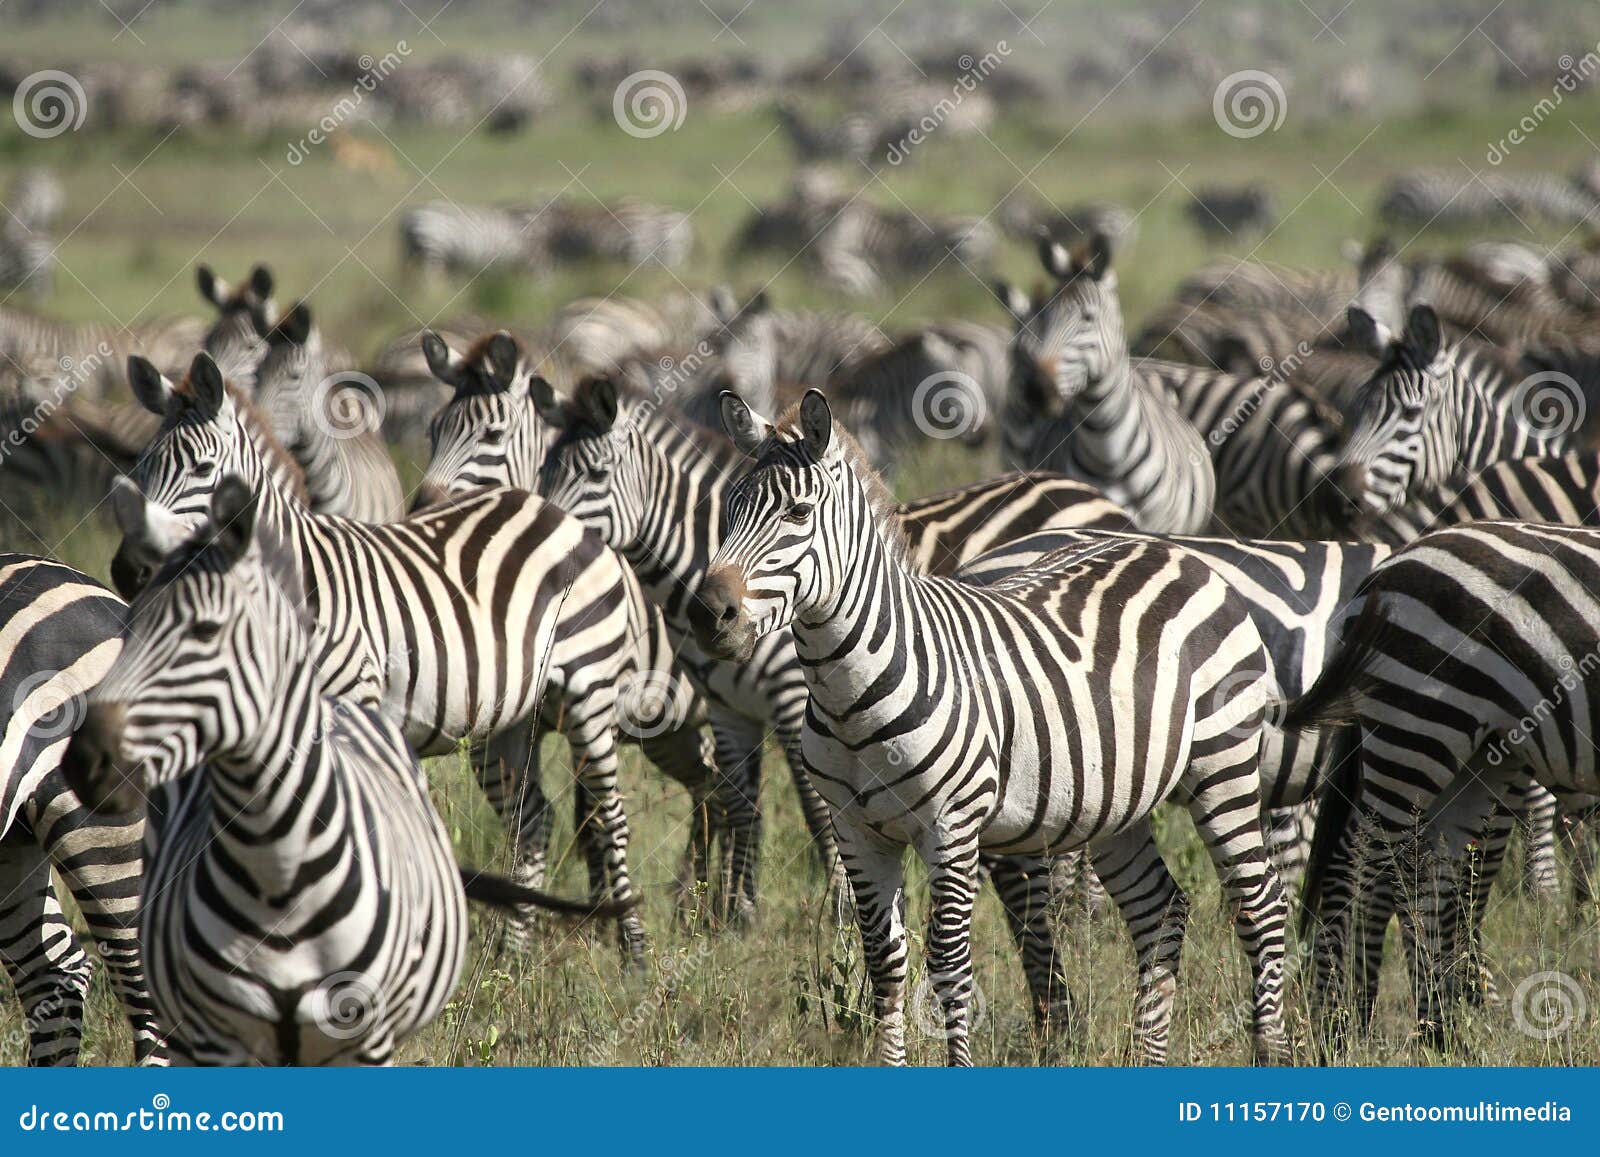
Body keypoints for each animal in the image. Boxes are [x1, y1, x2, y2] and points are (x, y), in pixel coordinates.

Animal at [107, 351, 718, 961]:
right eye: (141, 470)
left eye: (203, 470)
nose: (130, 570)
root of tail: (552, 510)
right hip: (507, 720)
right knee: (533, 822)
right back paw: (514, 955)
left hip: (590, 692)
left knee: (610, 819)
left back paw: (635, 951)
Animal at [691, 390, 1293, 1066]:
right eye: (730, 510)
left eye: (798, 512)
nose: (708, 613)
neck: (850, 698)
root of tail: (1169, 548)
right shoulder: (858, 832)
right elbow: (885, 964)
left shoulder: (952, 829)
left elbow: (950, 967)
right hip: (1119, 801)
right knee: (1159, 911)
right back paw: (1148, 1056)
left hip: (1223, 767)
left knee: (1262, 905)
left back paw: (1270, 1049)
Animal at [1284, 522, 1600, 1045]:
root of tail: (1381, 575)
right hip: (1421, 721)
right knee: (1370, 866)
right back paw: (1347, 1024)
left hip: (1475, 752)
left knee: (1427, 871)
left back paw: (1440, 1029)